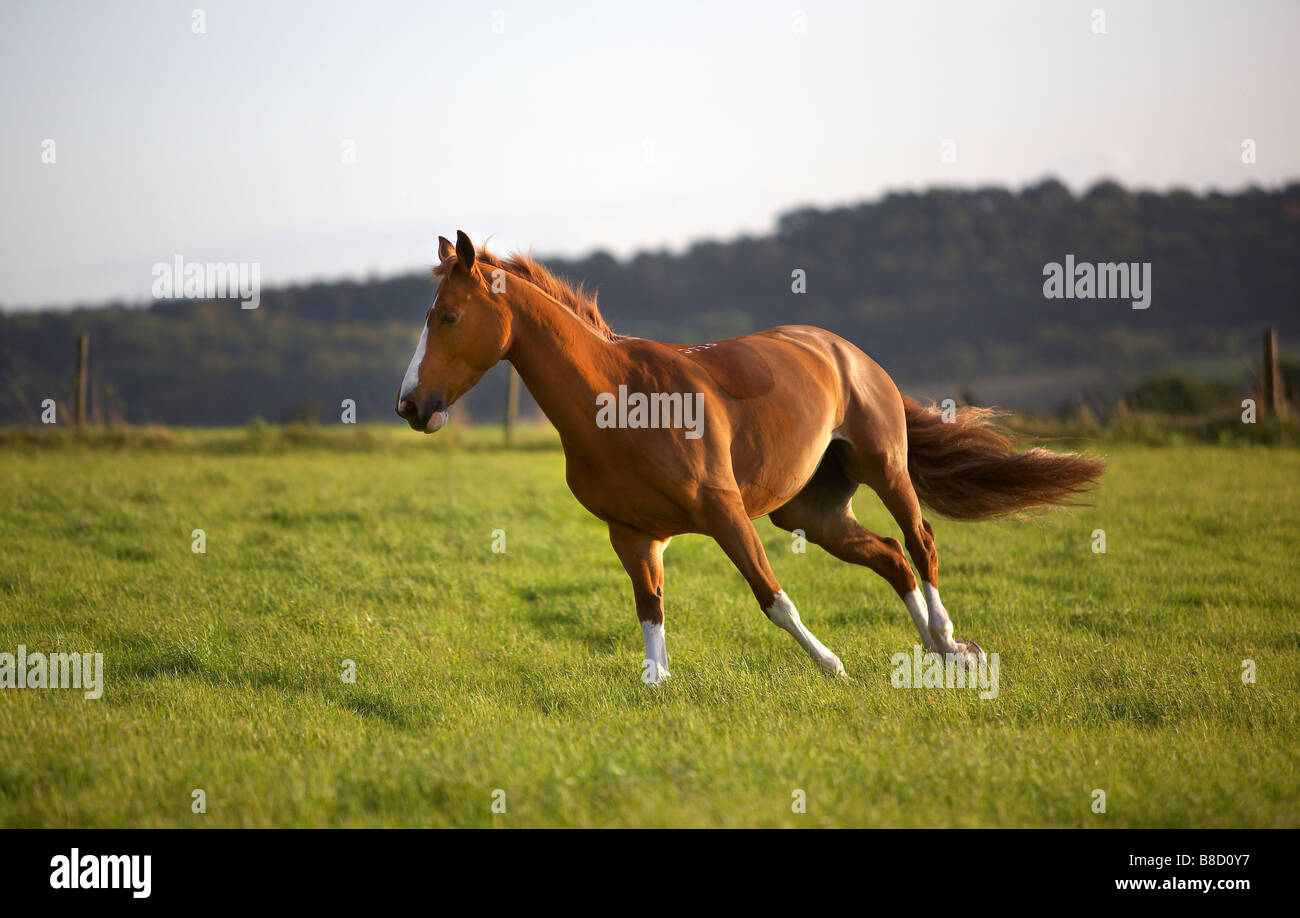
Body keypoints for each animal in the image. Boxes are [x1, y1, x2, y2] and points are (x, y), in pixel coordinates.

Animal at [396, 231, 1105, 684]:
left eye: (449, 316)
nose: (409, 405)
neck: (622, 403)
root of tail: (848, 353)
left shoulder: (723, 513)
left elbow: (773, 599)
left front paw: (833, 667)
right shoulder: (632, 535)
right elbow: (650, 614)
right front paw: (658, 688)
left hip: (885, 468)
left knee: (921, 543)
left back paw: (952, 644)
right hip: (810, 514)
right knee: (889, 556)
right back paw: (937, 646)